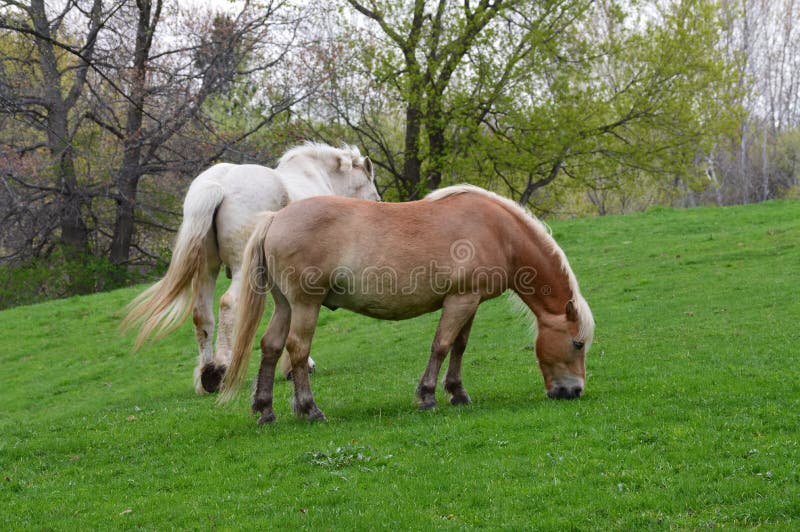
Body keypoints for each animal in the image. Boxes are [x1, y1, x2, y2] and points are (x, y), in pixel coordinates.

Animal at [122, 142, 381, 394]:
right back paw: (221, 370)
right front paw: (297, 367)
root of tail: (219, 185)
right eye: (376, 198)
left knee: (201, 313)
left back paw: (206, 376)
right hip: (241, 270)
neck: (319, 177)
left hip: (207, 269)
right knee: (228, 303)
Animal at [219, 184, 595, 423]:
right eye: (577, 344)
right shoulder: (460, 300)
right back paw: (309, 409)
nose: (573, 391)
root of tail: (275, 218)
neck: (497, 231)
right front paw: (427, 396)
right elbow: (441, 345)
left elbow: (459, 346)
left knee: (271, 347)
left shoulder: (470, 302)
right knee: (297, 349)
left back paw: (266, 410)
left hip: (285, 306)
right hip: (305, 305)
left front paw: (457, 393)